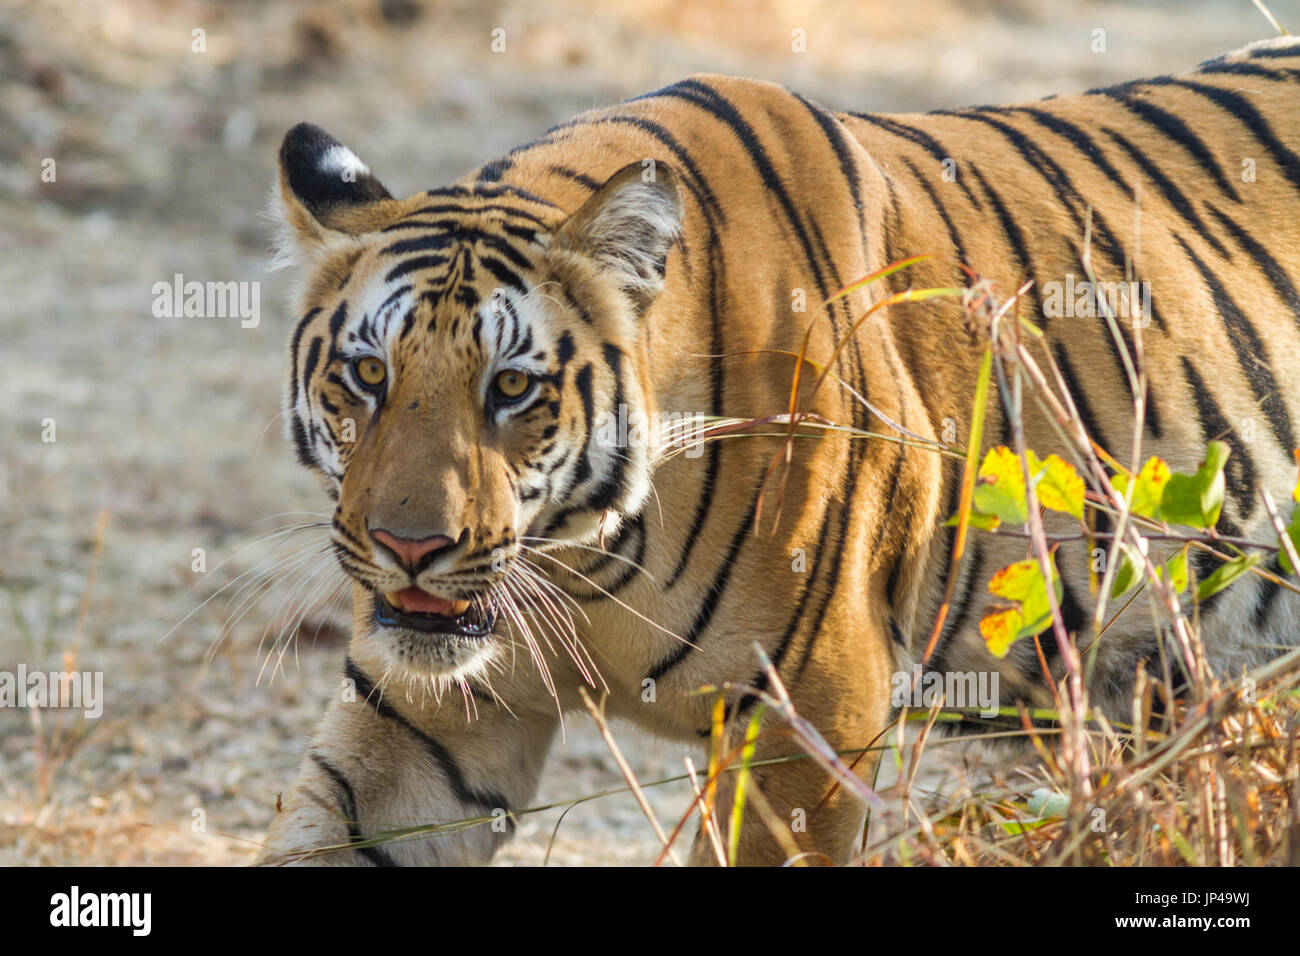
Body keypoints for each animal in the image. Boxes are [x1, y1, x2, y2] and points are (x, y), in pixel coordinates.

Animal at [258, 37, 1300, 866]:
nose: (409, 548)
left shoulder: (813, 717)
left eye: (512, 388)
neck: (582, 559)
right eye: (366, 374)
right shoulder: (421, 720)